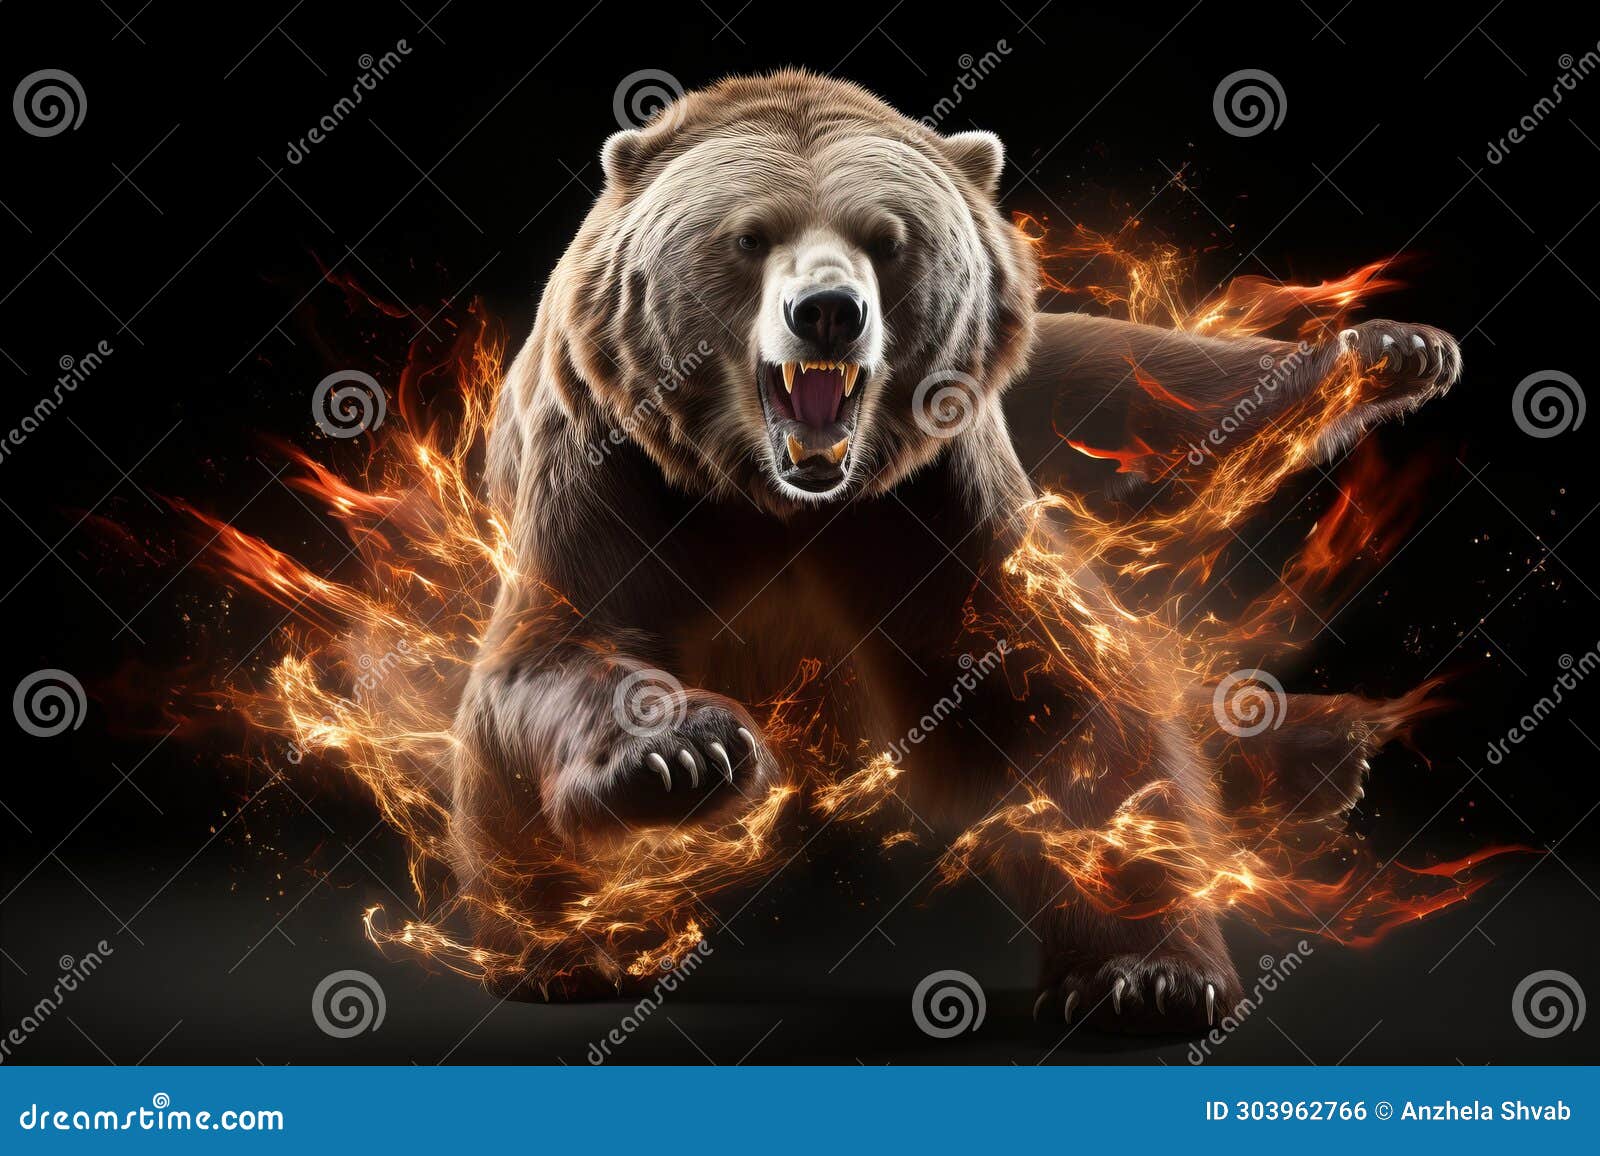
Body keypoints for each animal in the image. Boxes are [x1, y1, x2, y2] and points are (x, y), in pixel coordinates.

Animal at [451, 69, 1460, 1032]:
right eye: (749, 236)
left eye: (886, 239)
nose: (829, 311)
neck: (780, 502)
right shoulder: (617, 474)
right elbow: (559, 652)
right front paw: (683, 755)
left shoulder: (929, 505)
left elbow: (1061, 697)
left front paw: (1146, 975)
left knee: (1158, 388)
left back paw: (1382, 366)